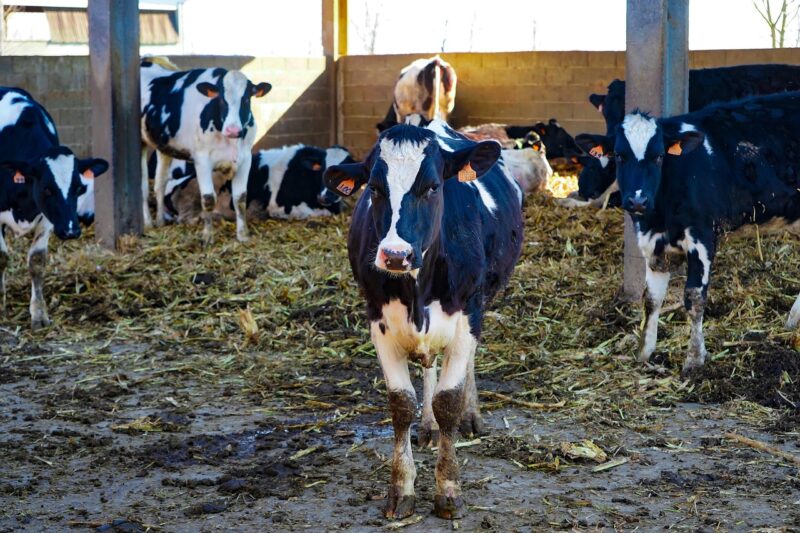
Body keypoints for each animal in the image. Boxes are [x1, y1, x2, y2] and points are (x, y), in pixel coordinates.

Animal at [0, 87, 108, 329]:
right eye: (47, 189)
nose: (71, 230)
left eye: (79, 188)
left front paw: (39, 313)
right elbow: (1, 258)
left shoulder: (48, 218)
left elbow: (37, 261)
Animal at [140, 57, 272, 244]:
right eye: (221, 100)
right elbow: (208, 198)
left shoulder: (245, 159)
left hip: (164, 146)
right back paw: (149, 223)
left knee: (160, 183)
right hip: (140, 142)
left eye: (246, 99)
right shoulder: (202, 160)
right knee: (143, 186)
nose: (233, 130)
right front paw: (208, 235)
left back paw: (160, 220)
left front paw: (243, 235)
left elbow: (240, 198)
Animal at [323, 119, 523, 520]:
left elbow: (449, 400)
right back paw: (429, 426)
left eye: (433, 186)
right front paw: (401, 489)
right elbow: (402, 404)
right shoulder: (379, 322)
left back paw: (471, 415)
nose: (395, 254)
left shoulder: (467, 316)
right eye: (374, 188)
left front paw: (448, 490)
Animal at [613, 92, 800, 375]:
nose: (637, 201)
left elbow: (694, 298)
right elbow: (651, 299)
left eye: (658, 156)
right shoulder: (653, 244)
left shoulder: (702, 238)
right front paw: (644, 352)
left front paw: (694, 359)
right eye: (619, 156)